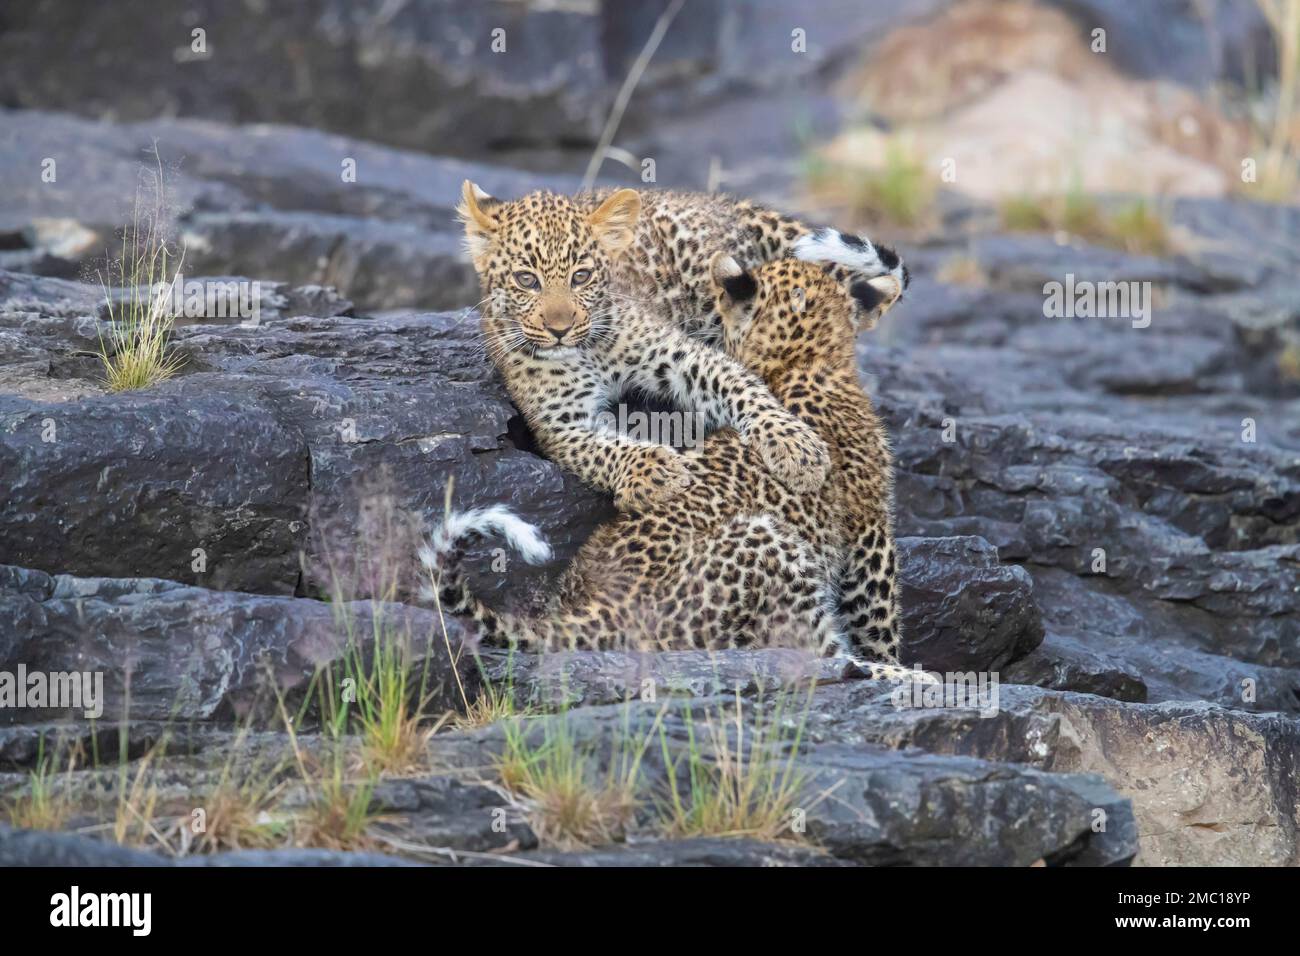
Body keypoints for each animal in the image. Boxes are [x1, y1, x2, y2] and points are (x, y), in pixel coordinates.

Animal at [421, 256, 910, 676]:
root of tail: (611, 607)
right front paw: (891, 658)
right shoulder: (870, 529)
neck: (794, 359)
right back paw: (903, 676)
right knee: (816, 652)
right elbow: (878, 616)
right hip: (764, 541)